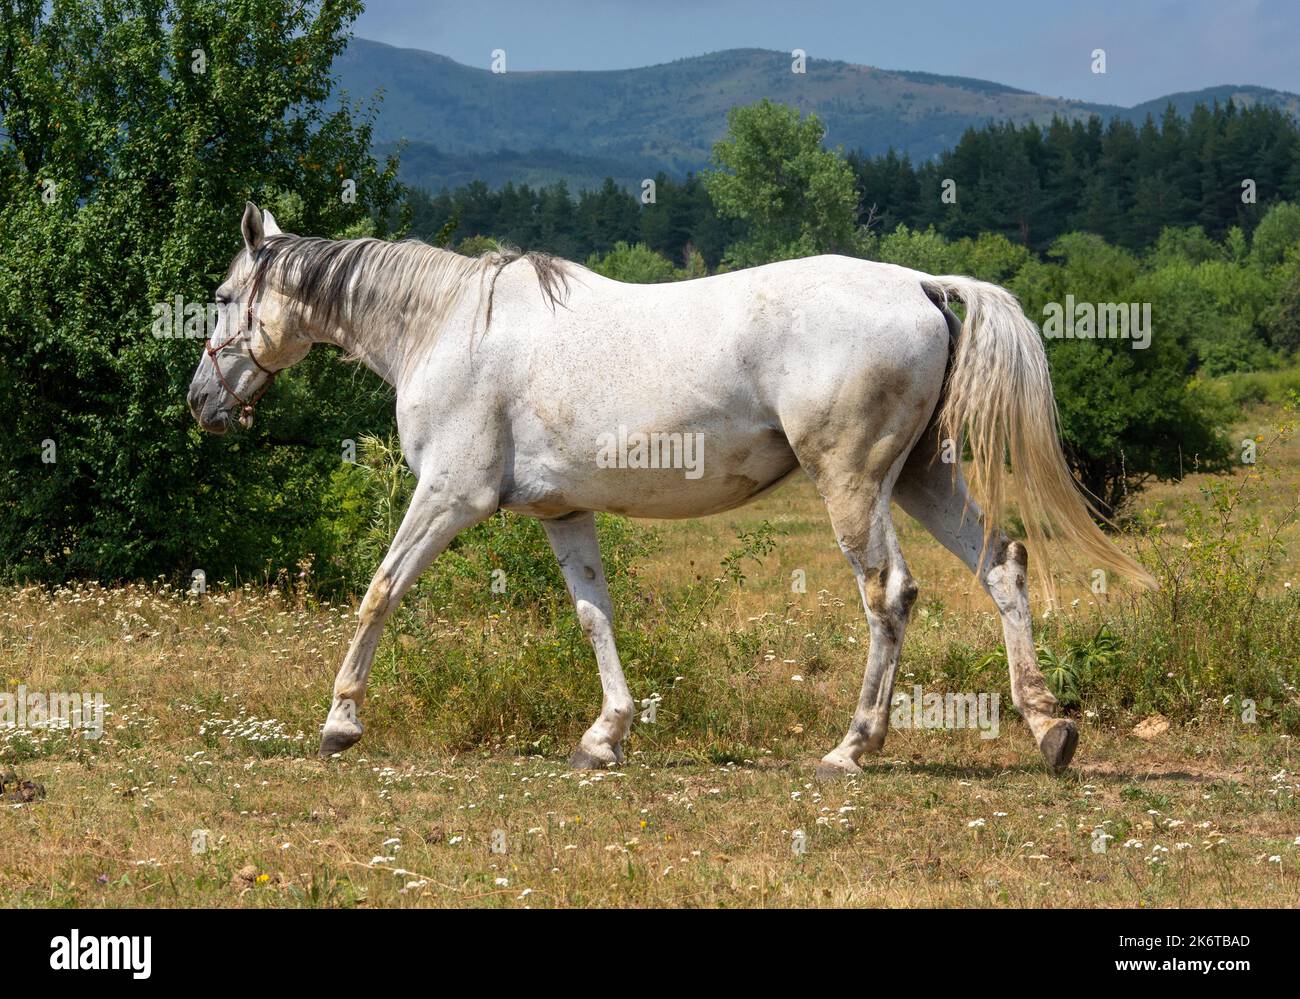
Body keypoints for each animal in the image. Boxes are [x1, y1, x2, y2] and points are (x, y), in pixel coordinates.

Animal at [187, 203, 1155, 775]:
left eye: (226, 295)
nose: (200, 401)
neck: (448, 327)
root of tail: (921, 283)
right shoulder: (563, 513)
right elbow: (594, 616)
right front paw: (605, 735)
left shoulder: (449, 498)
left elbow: (380, 591)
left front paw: (340, 721)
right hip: (923, 474)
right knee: (1003, 565)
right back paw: (1049, 728)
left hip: (853, 482)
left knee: (891, 594)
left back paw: (852, 746)